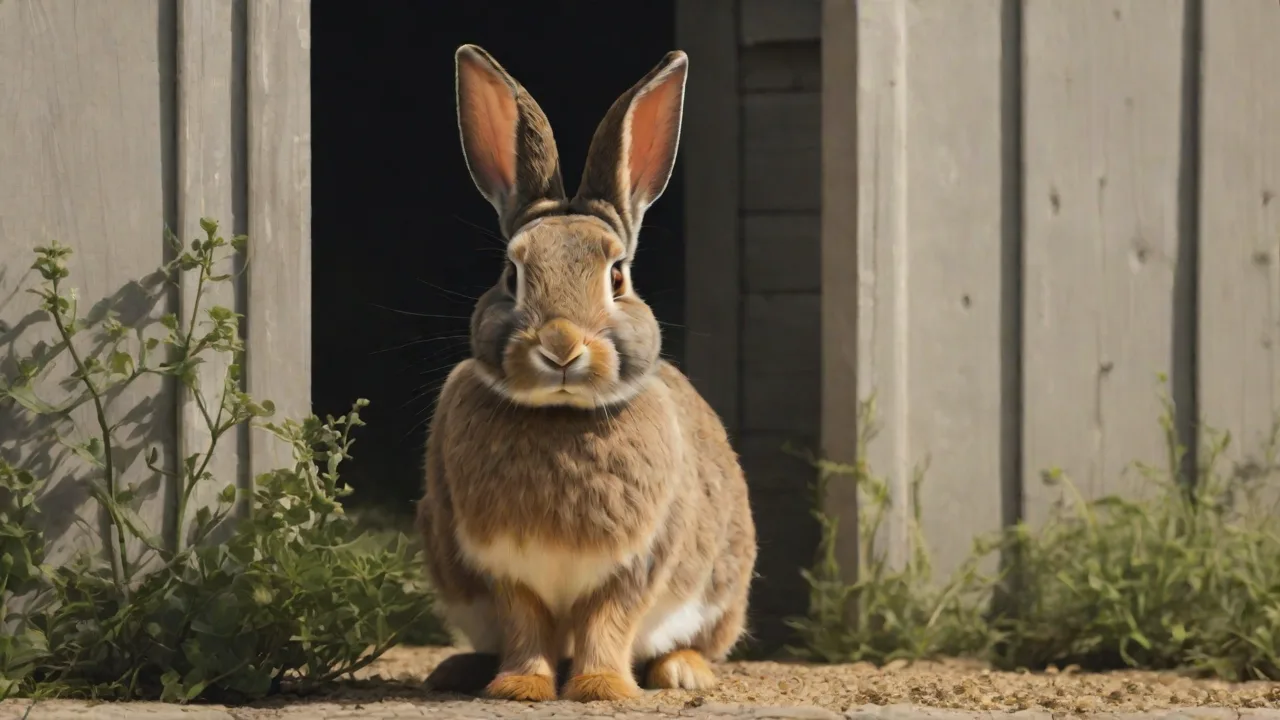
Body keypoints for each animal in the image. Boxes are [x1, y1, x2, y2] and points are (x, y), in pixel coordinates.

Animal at [415, 44, 757, 703]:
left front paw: (600, 688)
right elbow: (525, 625)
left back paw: (681, 671)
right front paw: (520, 688)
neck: (561, 417)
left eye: (617, 276)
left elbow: (608, 621)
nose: (561, 345)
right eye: (511, 274)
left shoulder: (635, 564)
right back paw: (457, 671)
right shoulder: (505, 570)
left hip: (724, 586)